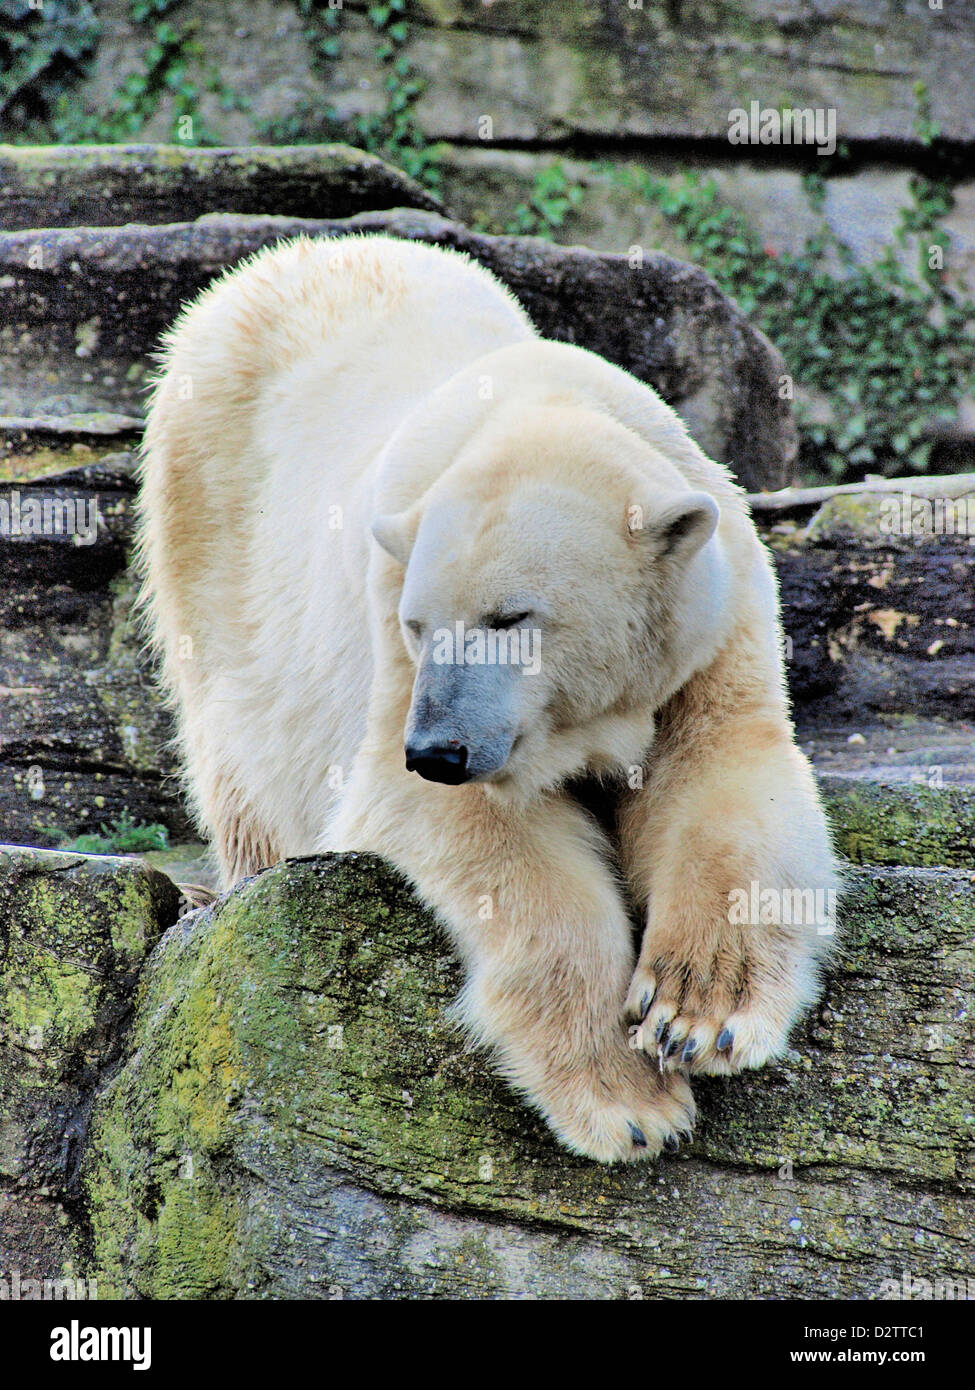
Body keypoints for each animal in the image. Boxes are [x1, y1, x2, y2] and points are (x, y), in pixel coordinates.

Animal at [137, 233, 841, 1163]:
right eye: (418, 625)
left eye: (512, 617)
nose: (437, 750)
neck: (540, 407)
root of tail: (288, 255)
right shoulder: (394, 633)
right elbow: (477, 834)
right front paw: (623, 1100)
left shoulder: (710, 618)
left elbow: (724, 773)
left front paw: (696, 1015)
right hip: (212, 528)